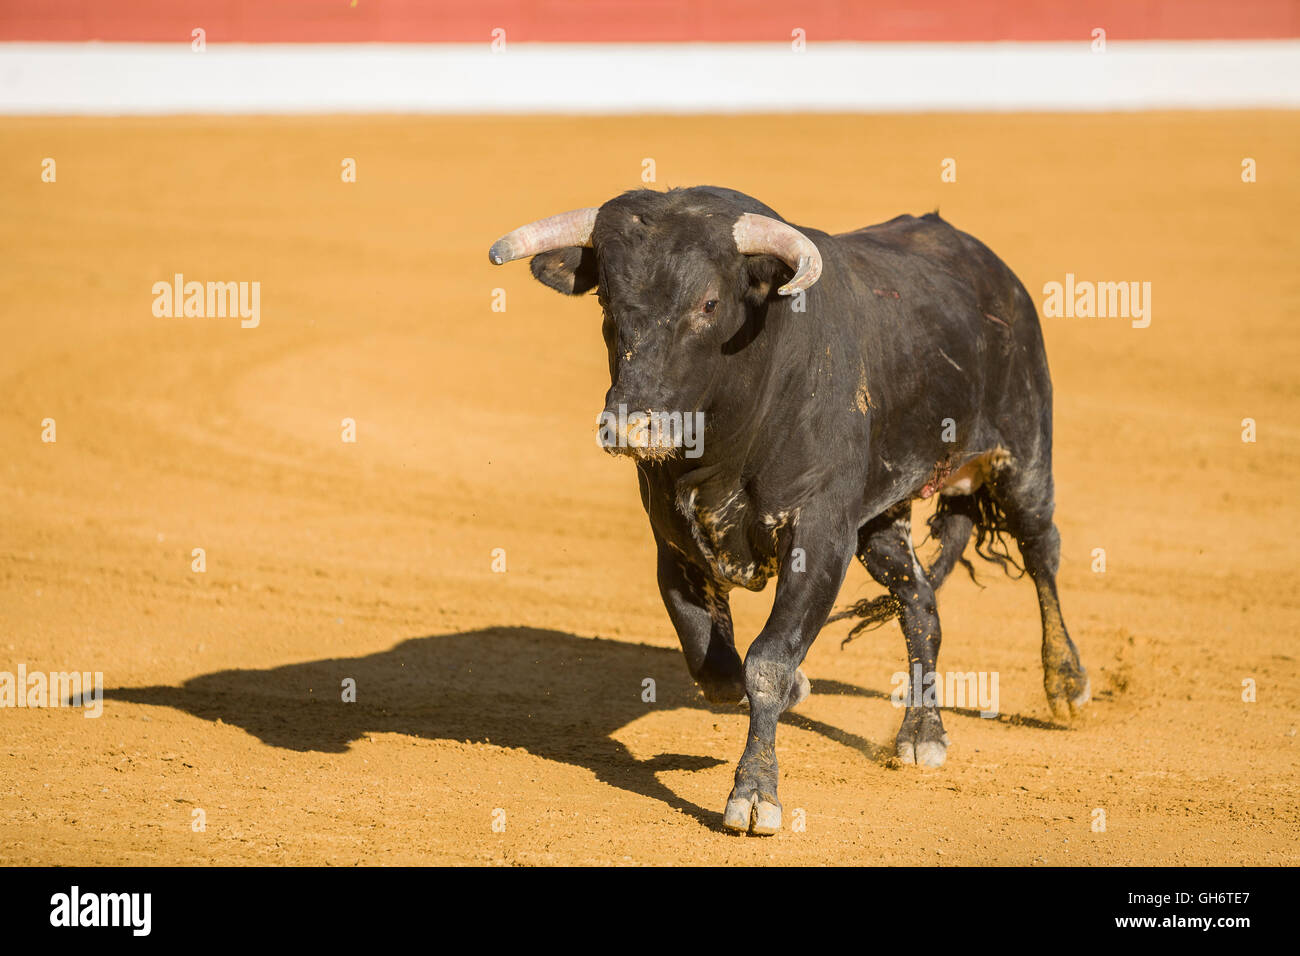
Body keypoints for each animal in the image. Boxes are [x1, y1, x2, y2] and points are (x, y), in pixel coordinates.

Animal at [488, 186, 1089, 834]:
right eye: (605, 298)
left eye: (709, 302)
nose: (630, 425)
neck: (722, 449)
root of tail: (990, 268)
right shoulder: (674, 543)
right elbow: (716, 668)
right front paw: (797, 690)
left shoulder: (818, 536)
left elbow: (768, 661)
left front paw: (755, 796)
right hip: (879, 524)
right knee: (921, 603)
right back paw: (922, 734)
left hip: (1024, 461)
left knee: (1042, 554)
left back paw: (1067, 684)